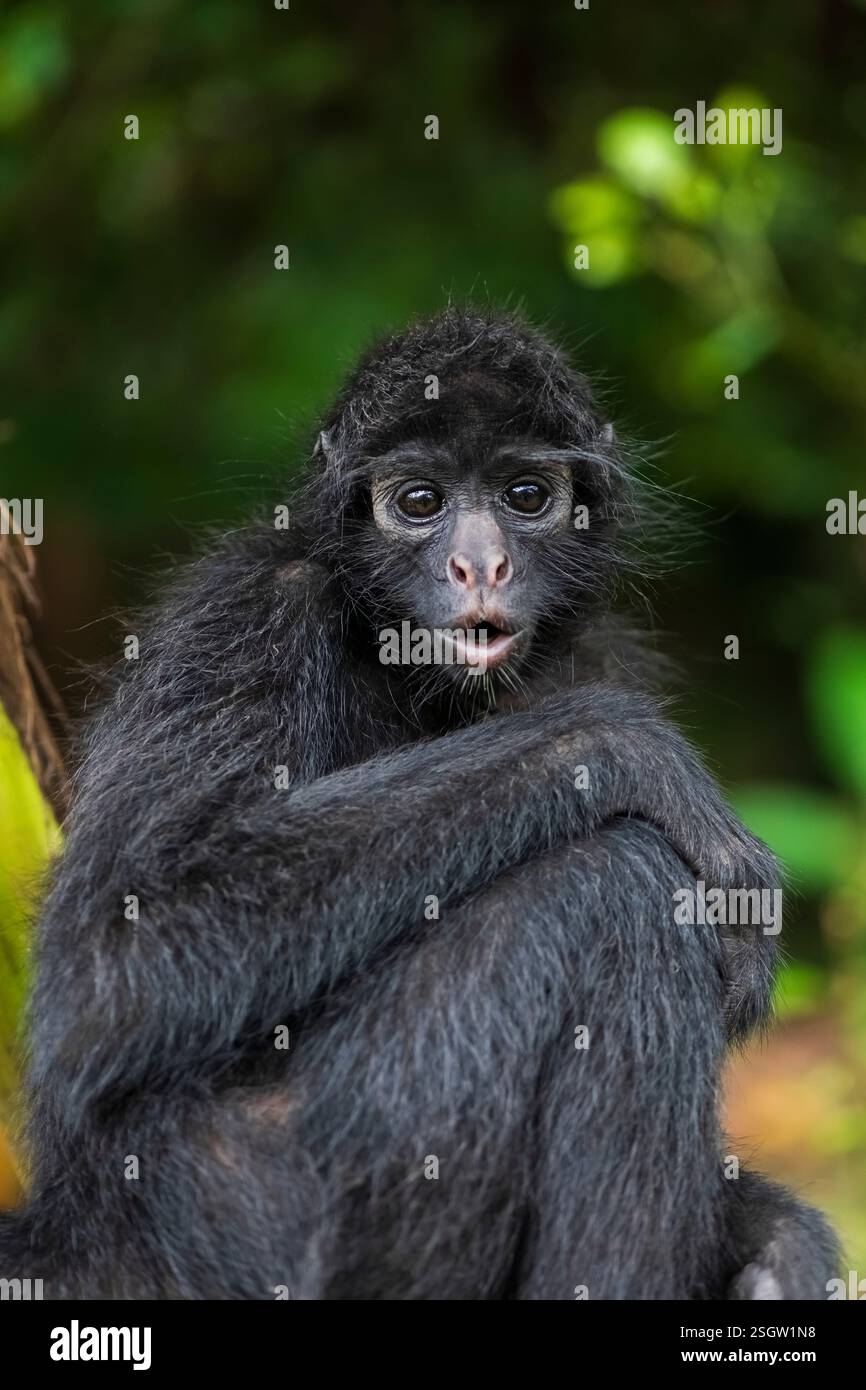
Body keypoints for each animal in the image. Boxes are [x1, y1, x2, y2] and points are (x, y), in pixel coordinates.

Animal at [0, 307, 838, 1299]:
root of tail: (83, 1230)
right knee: (619, 880)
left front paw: (783, 1245)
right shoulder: (253, 606)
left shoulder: (598, 649)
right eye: (421, 504)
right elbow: (108, 963)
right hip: (257, 1186)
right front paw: (626, 750)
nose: (481, 565)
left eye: (525, 495)